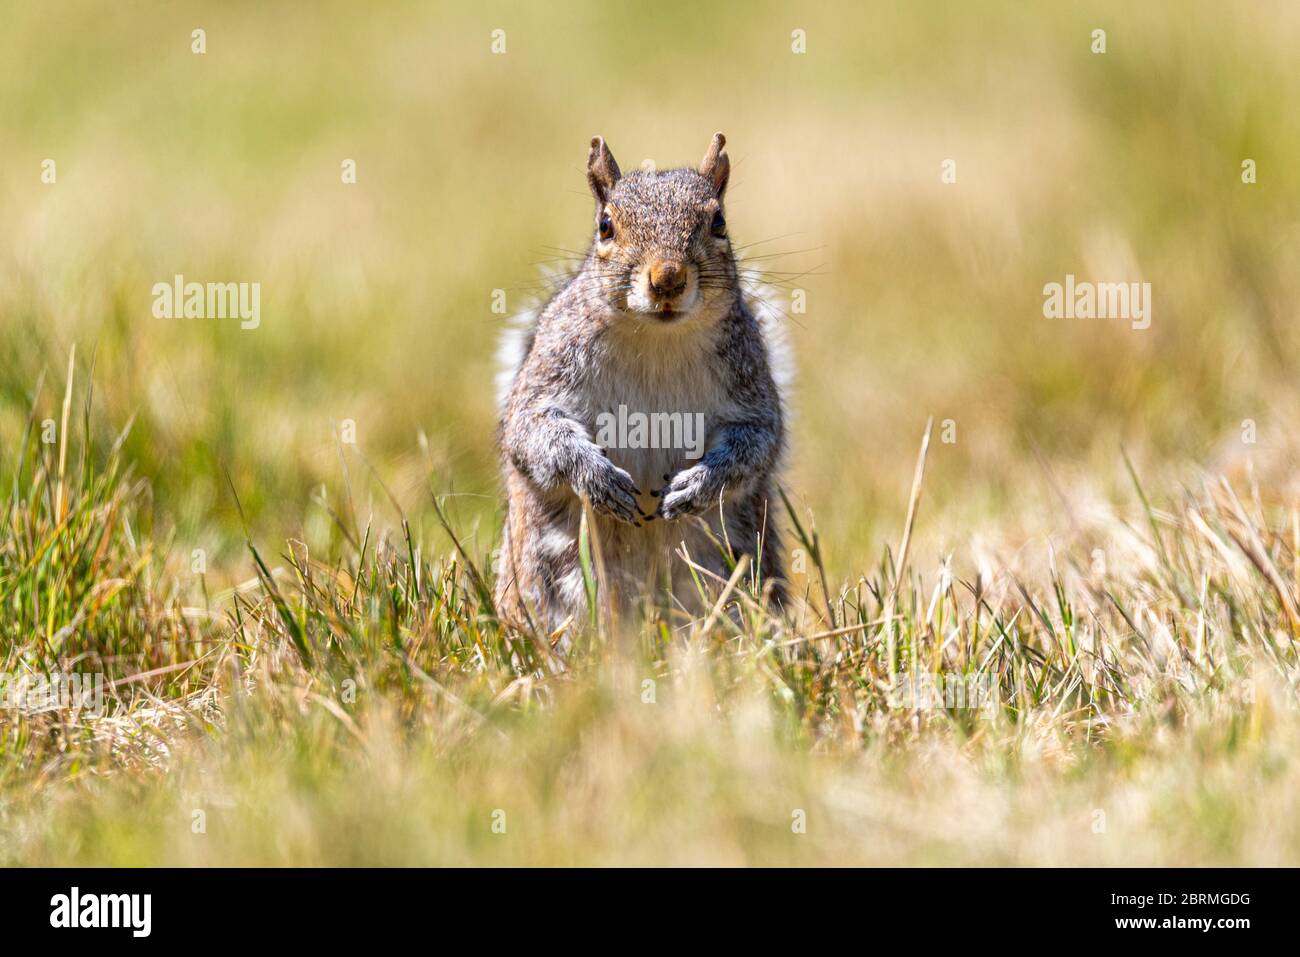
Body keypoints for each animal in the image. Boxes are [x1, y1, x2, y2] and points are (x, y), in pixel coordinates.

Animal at [495, 132, 790, 635]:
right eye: (605, 226)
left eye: (718, 221)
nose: (667, 278)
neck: (656, 339)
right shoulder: (548, 376)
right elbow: (533, 432)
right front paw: (597, 479)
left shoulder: (749, 385)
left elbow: (758, 443)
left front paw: (699, 485)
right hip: (555, 571)